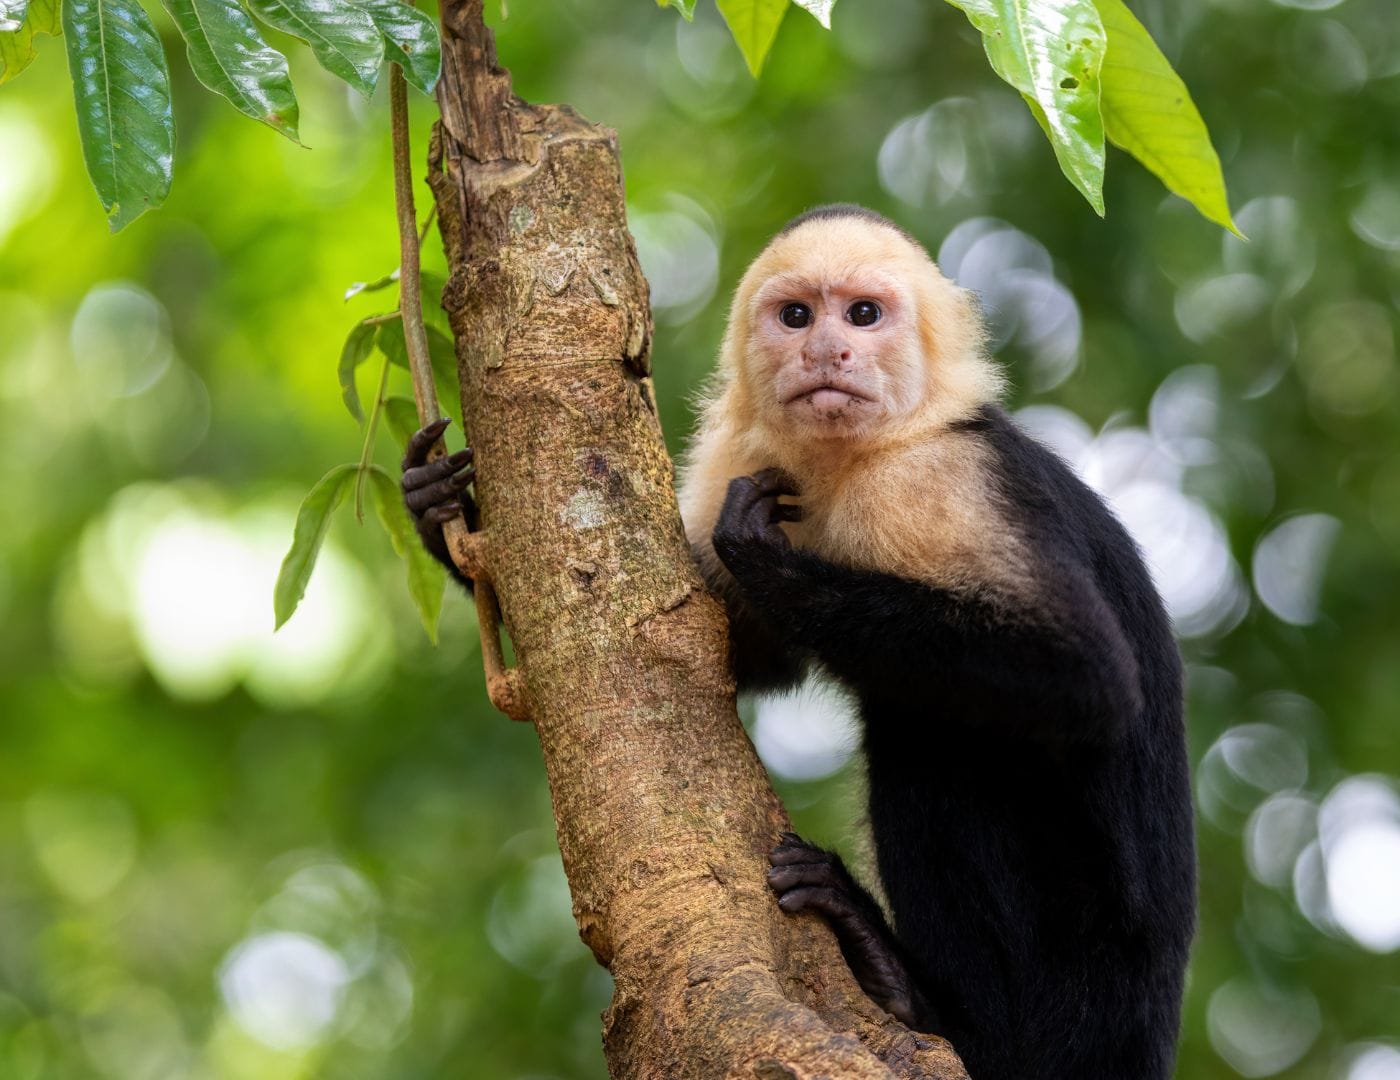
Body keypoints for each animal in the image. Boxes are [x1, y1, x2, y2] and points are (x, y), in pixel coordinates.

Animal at [400, 204, 1195, 1080]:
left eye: (863, 314)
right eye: (796, 317)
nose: (826, 352)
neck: (854, 461)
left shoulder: (938, 477)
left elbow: (1086, 675)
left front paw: (763, 555)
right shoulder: (744, 461)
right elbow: (712, 643)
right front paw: (444, 514)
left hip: (1080, 976)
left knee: (930, 734)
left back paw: (923, 999)